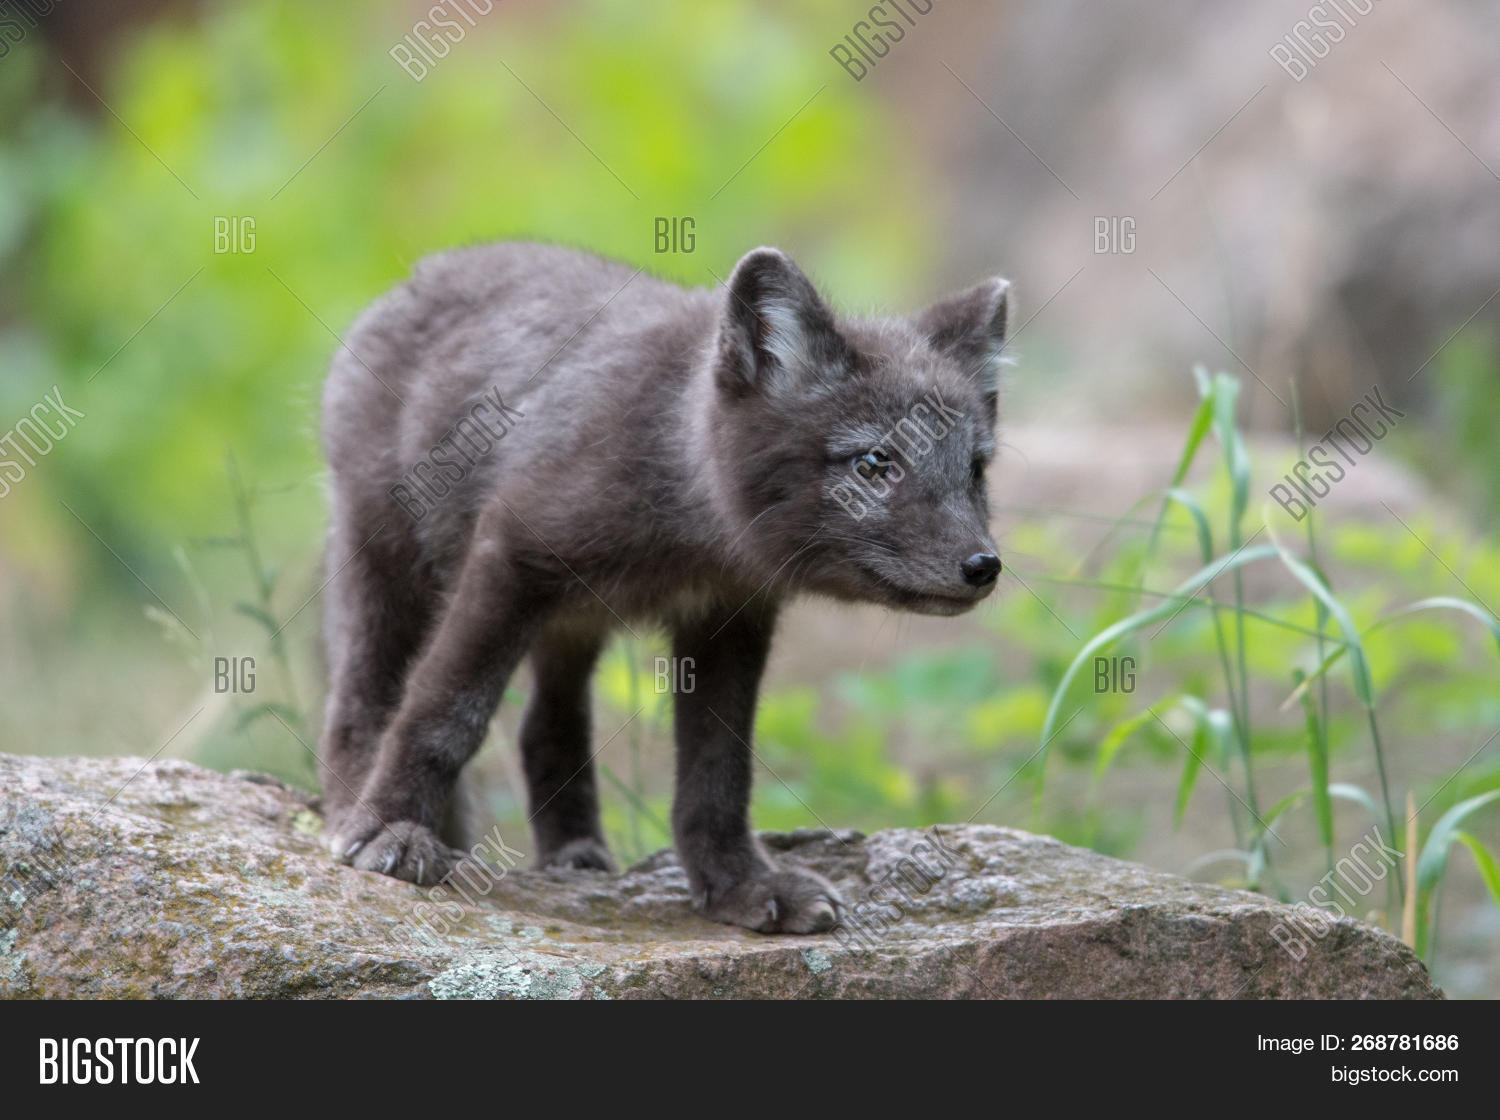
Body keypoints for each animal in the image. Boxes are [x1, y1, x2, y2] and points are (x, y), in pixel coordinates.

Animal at [317, 242, 1009, 934]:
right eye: (875, 463)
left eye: (976, 469)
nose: (984, 566)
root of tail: (423, 273)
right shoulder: (509, 551)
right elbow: (443, 711)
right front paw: (390, 829)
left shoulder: (731, 617)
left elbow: (719, 774)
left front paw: (739, 885)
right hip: (388, 562)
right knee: (361, 700)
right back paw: (355, 811)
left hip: (573, 623)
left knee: (545, 724)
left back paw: (574, 855)